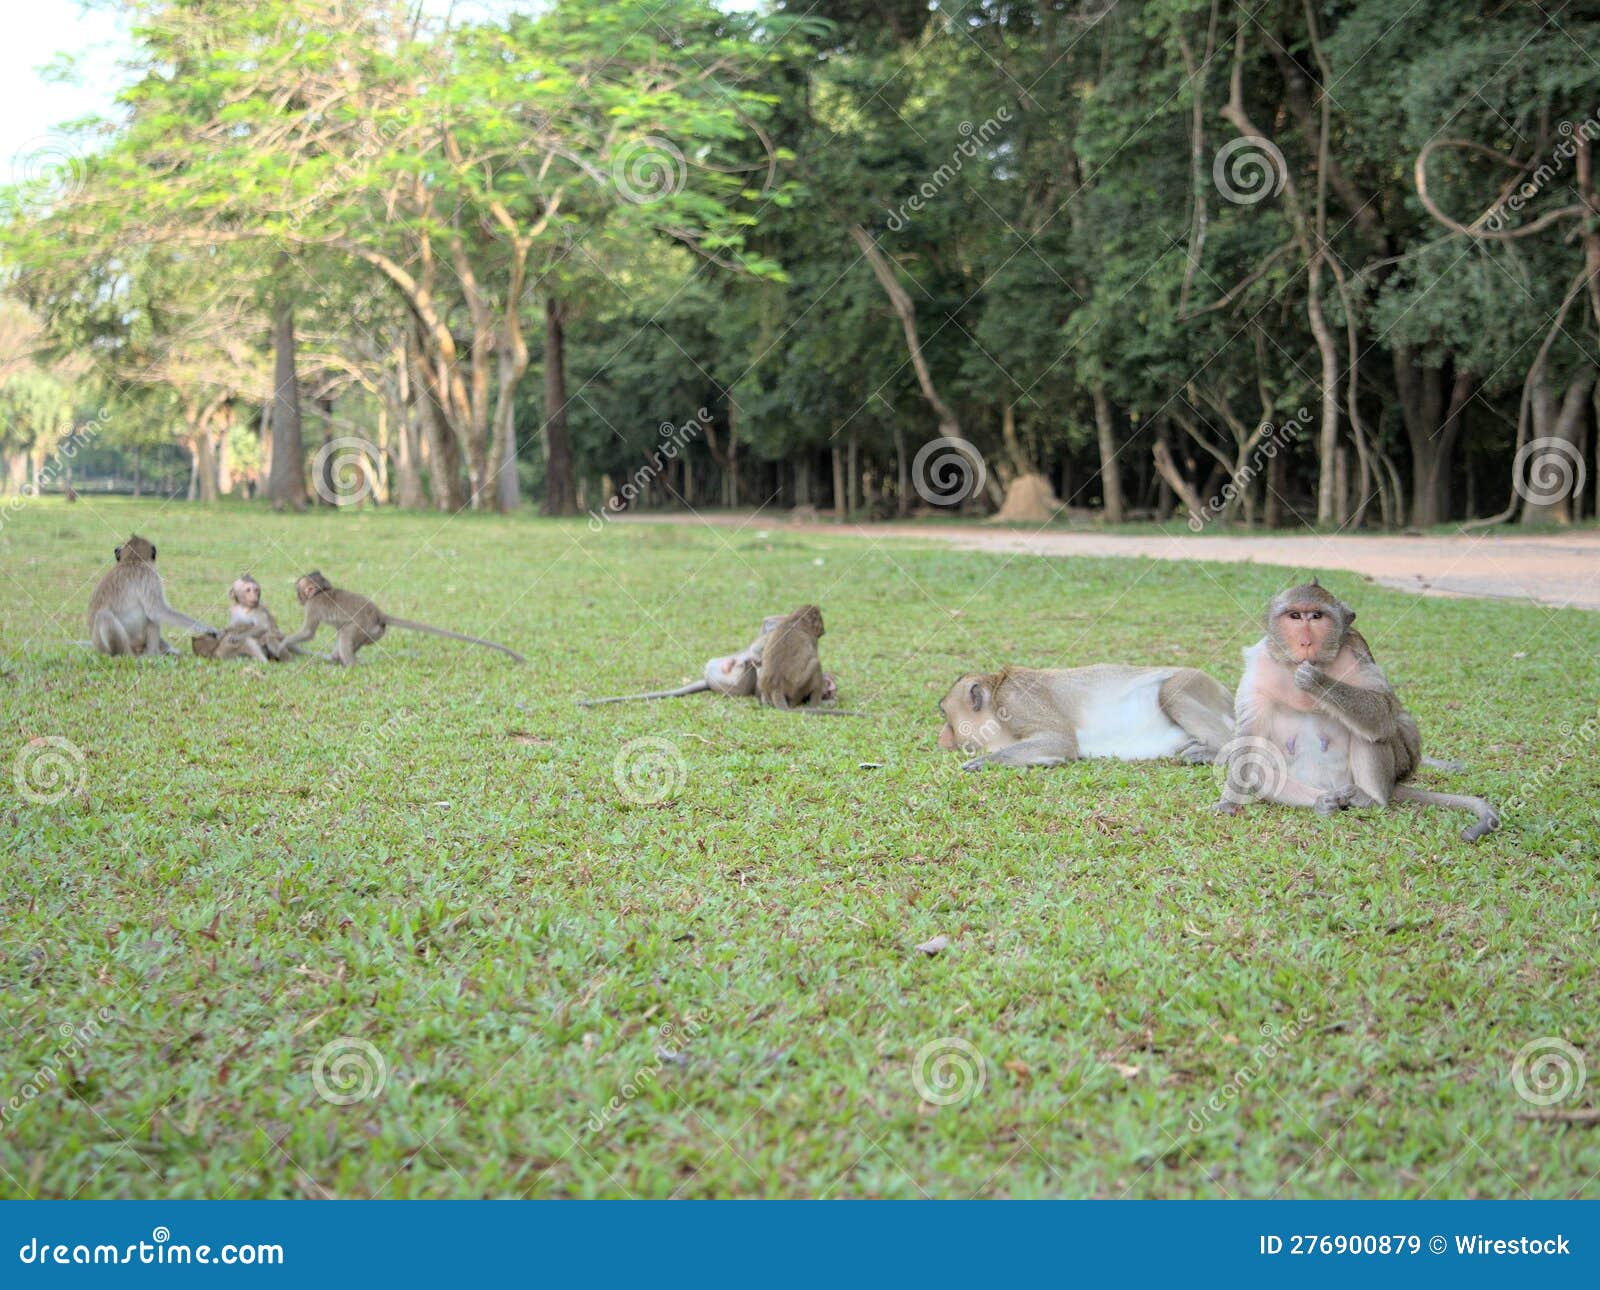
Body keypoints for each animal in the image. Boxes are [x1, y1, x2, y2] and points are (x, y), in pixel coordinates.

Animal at [86, 536, 219, 657]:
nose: (116, 549)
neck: (133, 560)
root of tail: (96, 646)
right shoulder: (150, 576)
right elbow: (156, 611)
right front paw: (208, 629)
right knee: (105, 616)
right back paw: (140, 655)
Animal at [281, 571, 525, 666]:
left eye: (299, 592)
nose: (297, 598)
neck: (320, 592)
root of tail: (379, 614)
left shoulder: (312, 607)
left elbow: (308, 633)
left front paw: (283, 644)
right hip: (373, 633)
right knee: (345, 635)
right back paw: (336, 659)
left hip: (363, 627)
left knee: (346, 634)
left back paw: (349, 664)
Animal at [939, 665, 1234, 769]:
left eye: (944, 714)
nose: (942, 736)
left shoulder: (1016, 700)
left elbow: (1060, 740)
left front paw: (981, 762)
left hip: (1196, 682)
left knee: (1171, 691)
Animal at [1214, 580, 1499, 842]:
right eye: (1294, 616)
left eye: (1316, 616)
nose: (1305, 642)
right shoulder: (1259, 668)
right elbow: (1249, 743)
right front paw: (1229, 802)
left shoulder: (1357, 652)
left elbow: (1382, 711)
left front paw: (1316, 680)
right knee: (1260, 767)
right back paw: (1322, 802)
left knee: (1371, 733)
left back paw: (1370, 798)